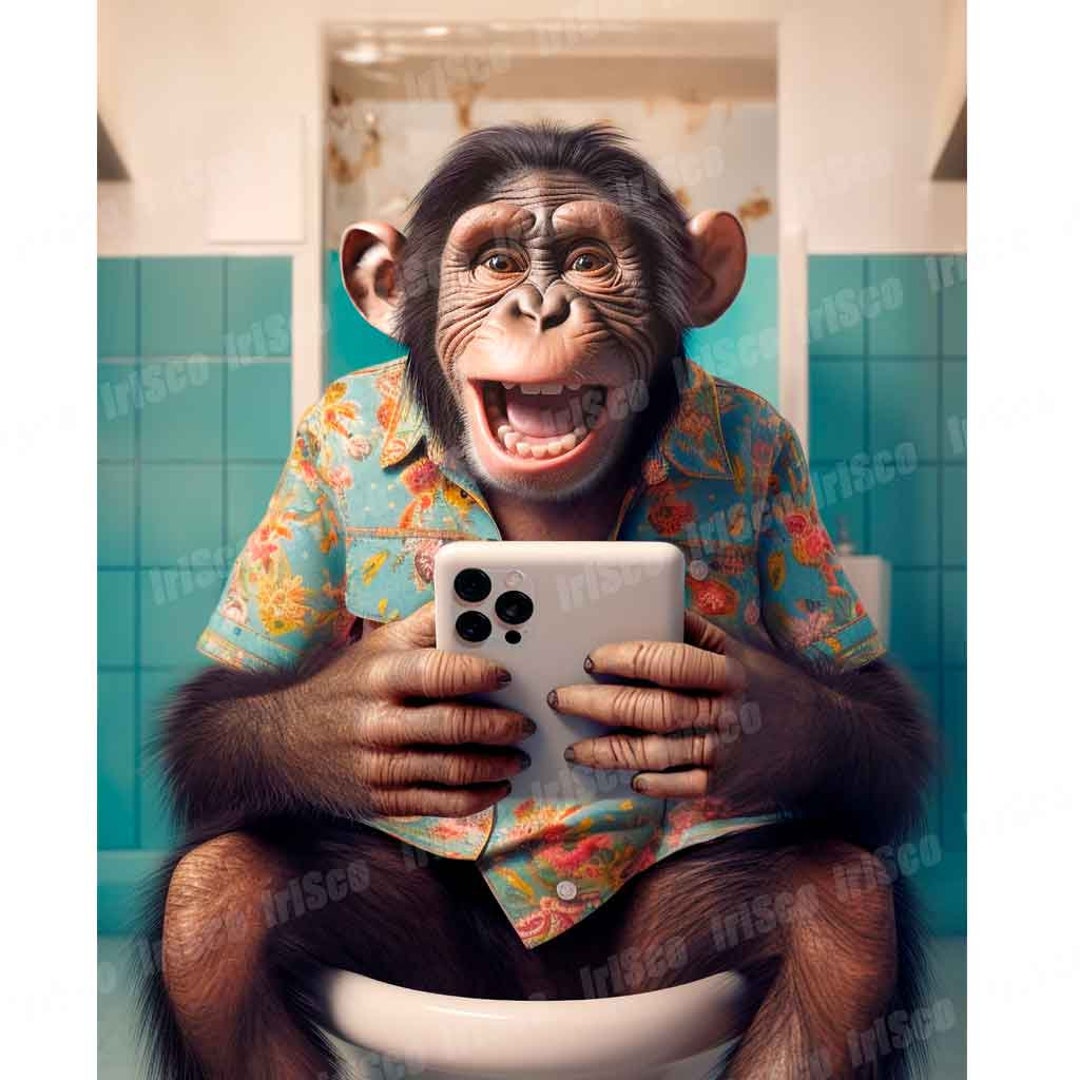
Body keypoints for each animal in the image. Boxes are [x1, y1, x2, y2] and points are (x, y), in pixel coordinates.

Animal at [137, 123, 934, 1079]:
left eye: (590, 261)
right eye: (497, 262)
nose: (543, 308)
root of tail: (539, 1009)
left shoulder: (775, 445)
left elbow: (870, 711)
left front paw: (730, 714)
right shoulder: (314, 436)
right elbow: (228, 701)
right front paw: (365, 717)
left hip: (630, 983)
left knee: (837, 913)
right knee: (215, 906)